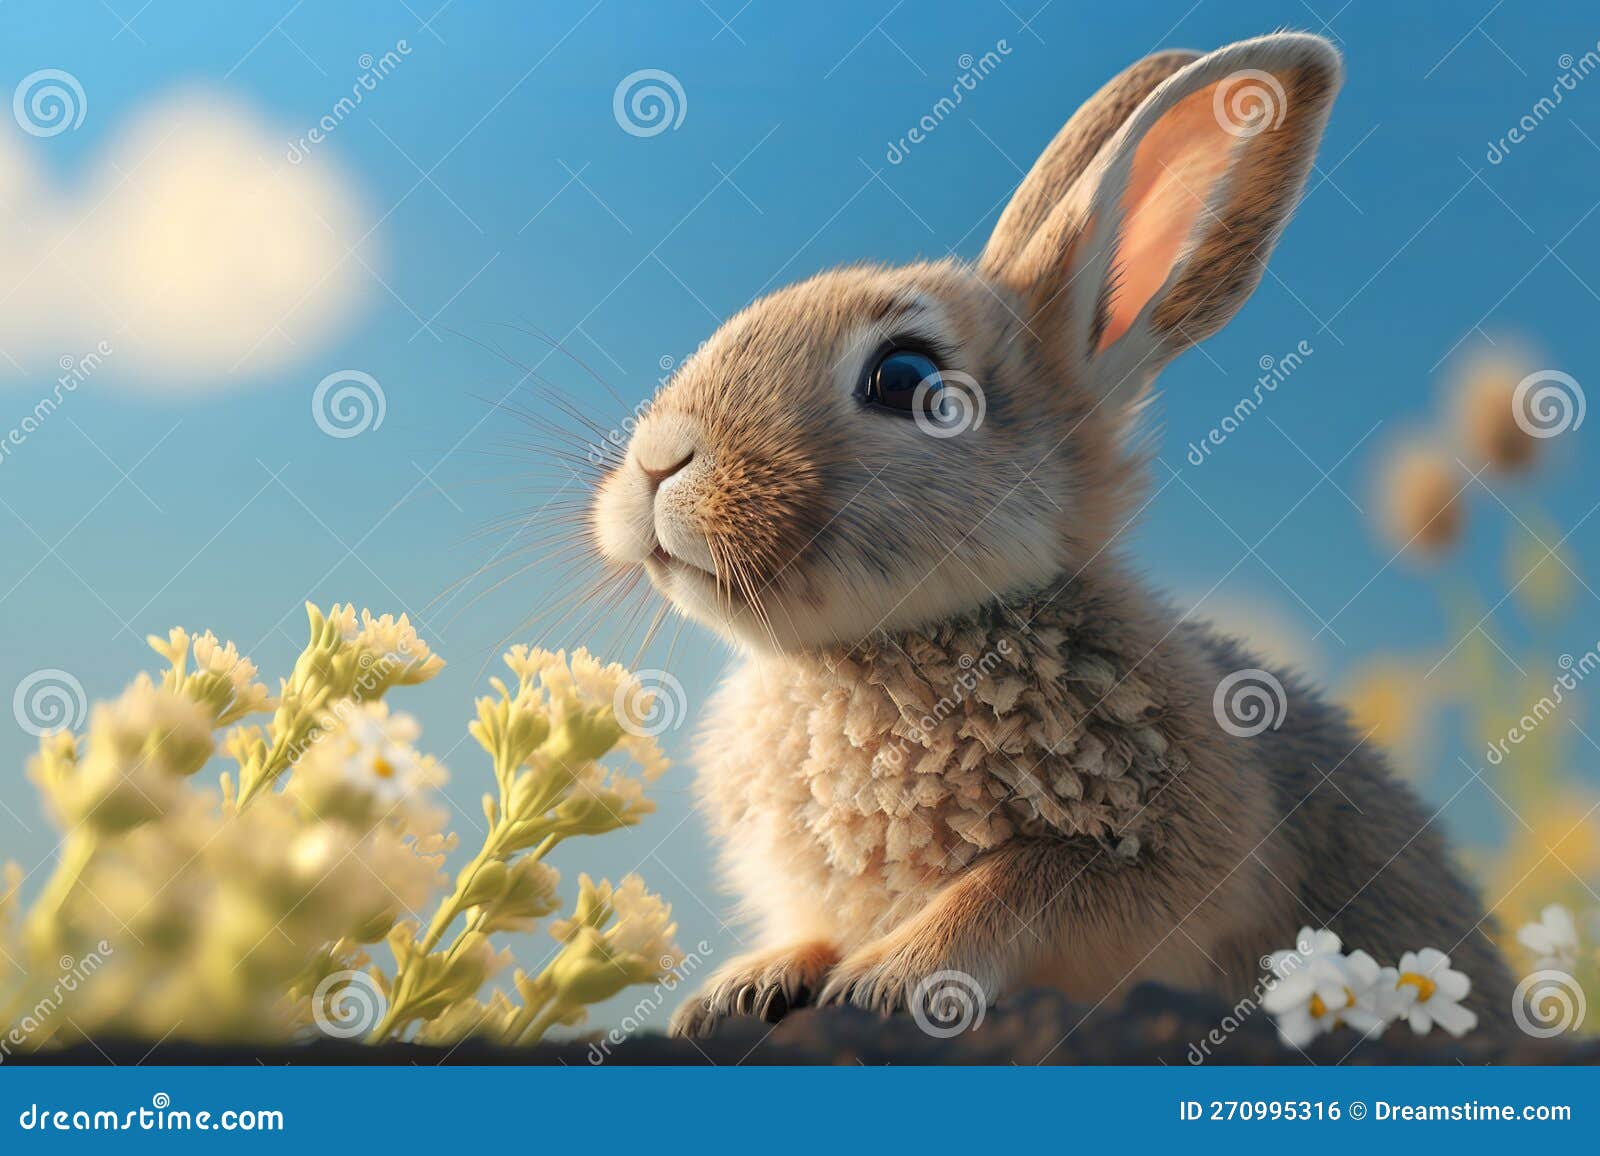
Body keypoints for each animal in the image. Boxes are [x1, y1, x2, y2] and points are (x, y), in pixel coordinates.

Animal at [589, 31, 1516, 1041]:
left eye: (905, 377)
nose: (659, 461)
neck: (865, 653)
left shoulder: (1165, 852)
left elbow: (1017, 885)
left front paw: (891, 976)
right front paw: (748, 985)